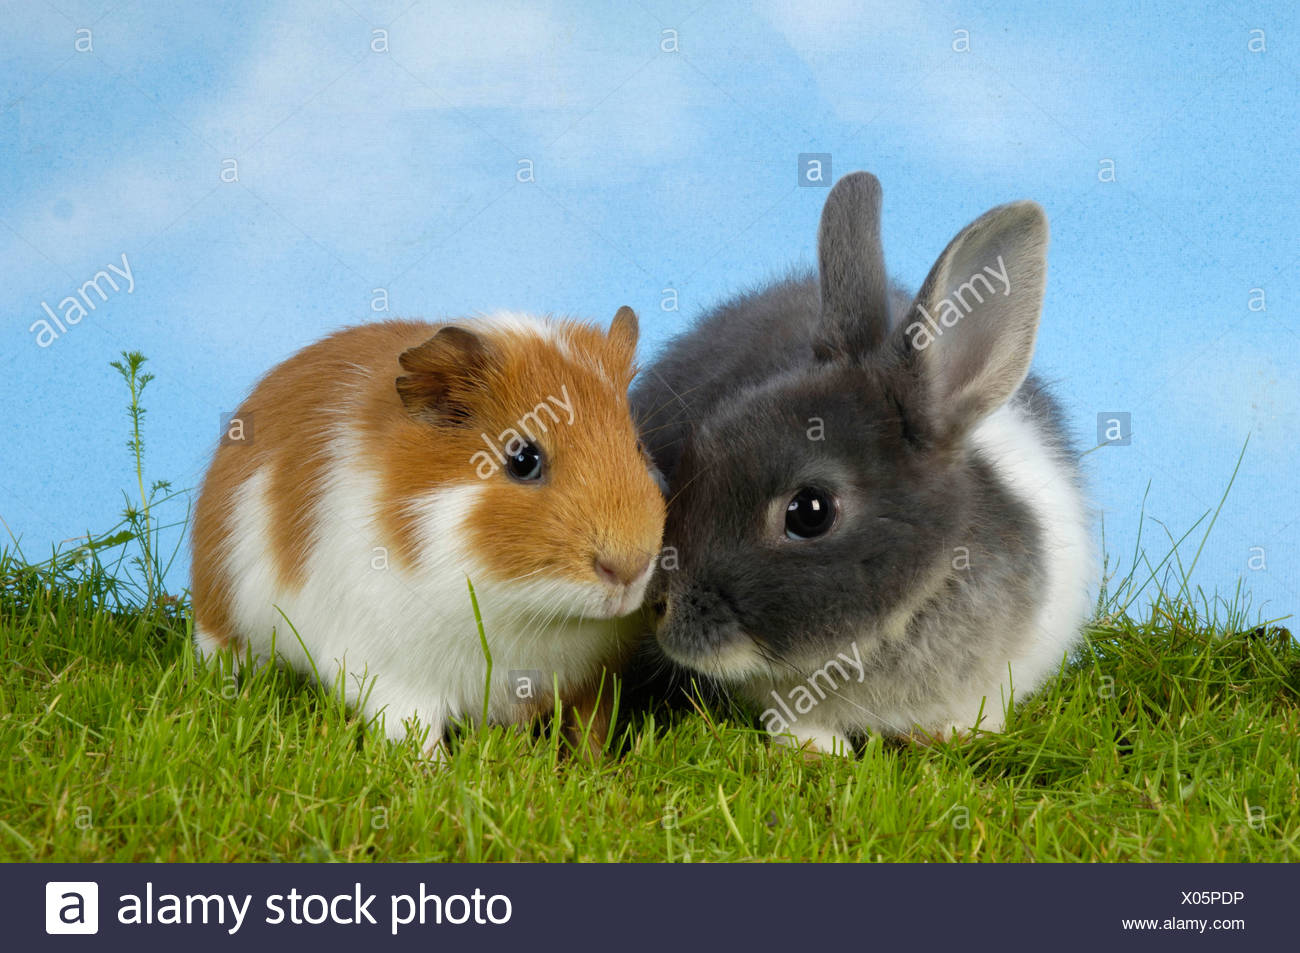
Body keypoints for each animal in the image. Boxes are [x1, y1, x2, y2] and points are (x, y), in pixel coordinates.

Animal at [191, 308, 666, 756]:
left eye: (638, 447)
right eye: (523, 459)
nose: (629, 568)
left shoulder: (592, 679)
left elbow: (590, 730)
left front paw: (596, 766)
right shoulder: (397, 681)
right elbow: (415, 735)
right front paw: (437, 772)